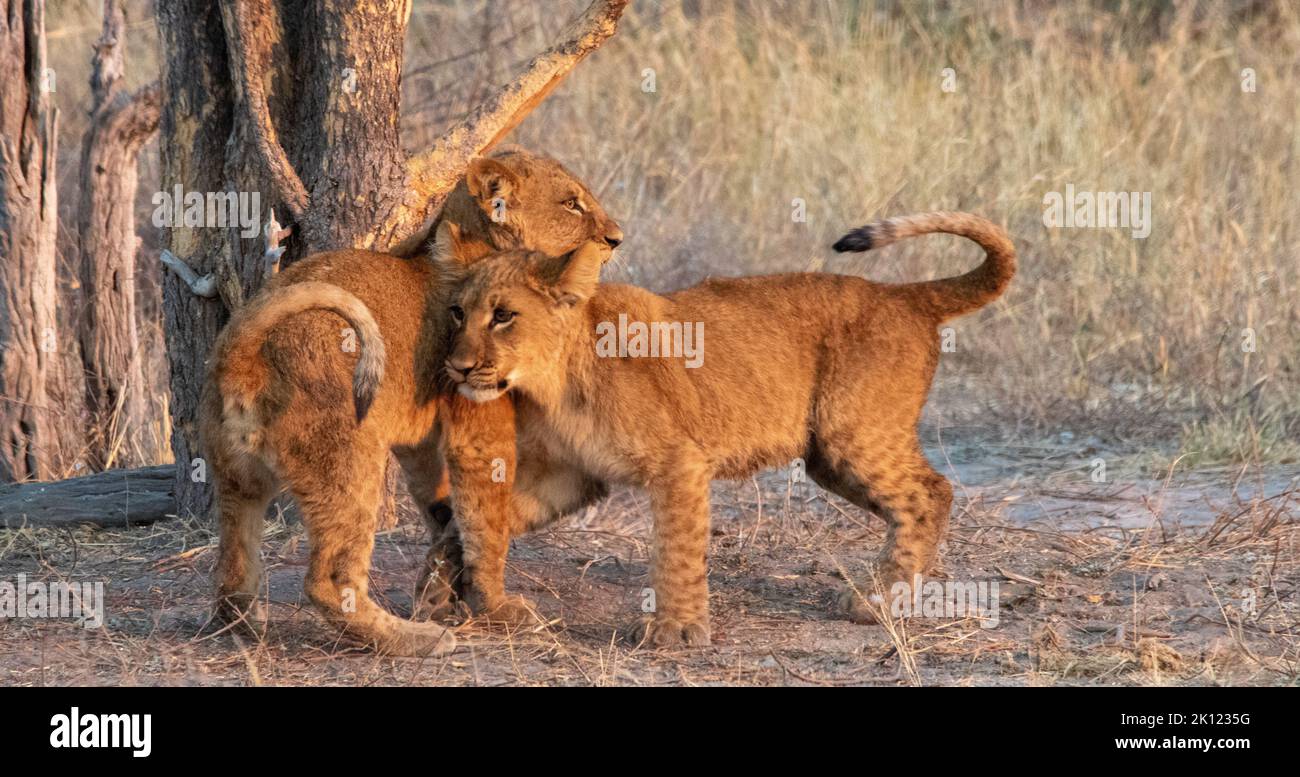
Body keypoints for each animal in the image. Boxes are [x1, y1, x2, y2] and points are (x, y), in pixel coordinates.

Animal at [202, 148, 623, 655]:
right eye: (571, 204)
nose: (616, 239)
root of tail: (243, 344)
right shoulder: (480, 420)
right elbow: (489, 522)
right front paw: (497, 609)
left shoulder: (419, 436)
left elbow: (443, 506)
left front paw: (443, 590)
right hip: (351, 458)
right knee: (328, 579)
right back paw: (413, 639)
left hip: (235, 478)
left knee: (232, 563)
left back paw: (242, 626)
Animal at [424, 211, 1014, 647]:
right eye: (456, 313)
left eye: (503, 315)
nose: (458, 367)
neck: (553, 379)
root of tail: (905, 296)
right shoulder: (569, 476)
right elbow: (488, 521)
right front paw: (444, 591)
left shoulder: (679, 462)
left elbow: (677, 549)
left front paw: (676, 631)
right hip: (828, 457)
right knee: (918, 498)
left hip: (853, 435)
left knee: (932, 491)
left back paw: (880, 601)